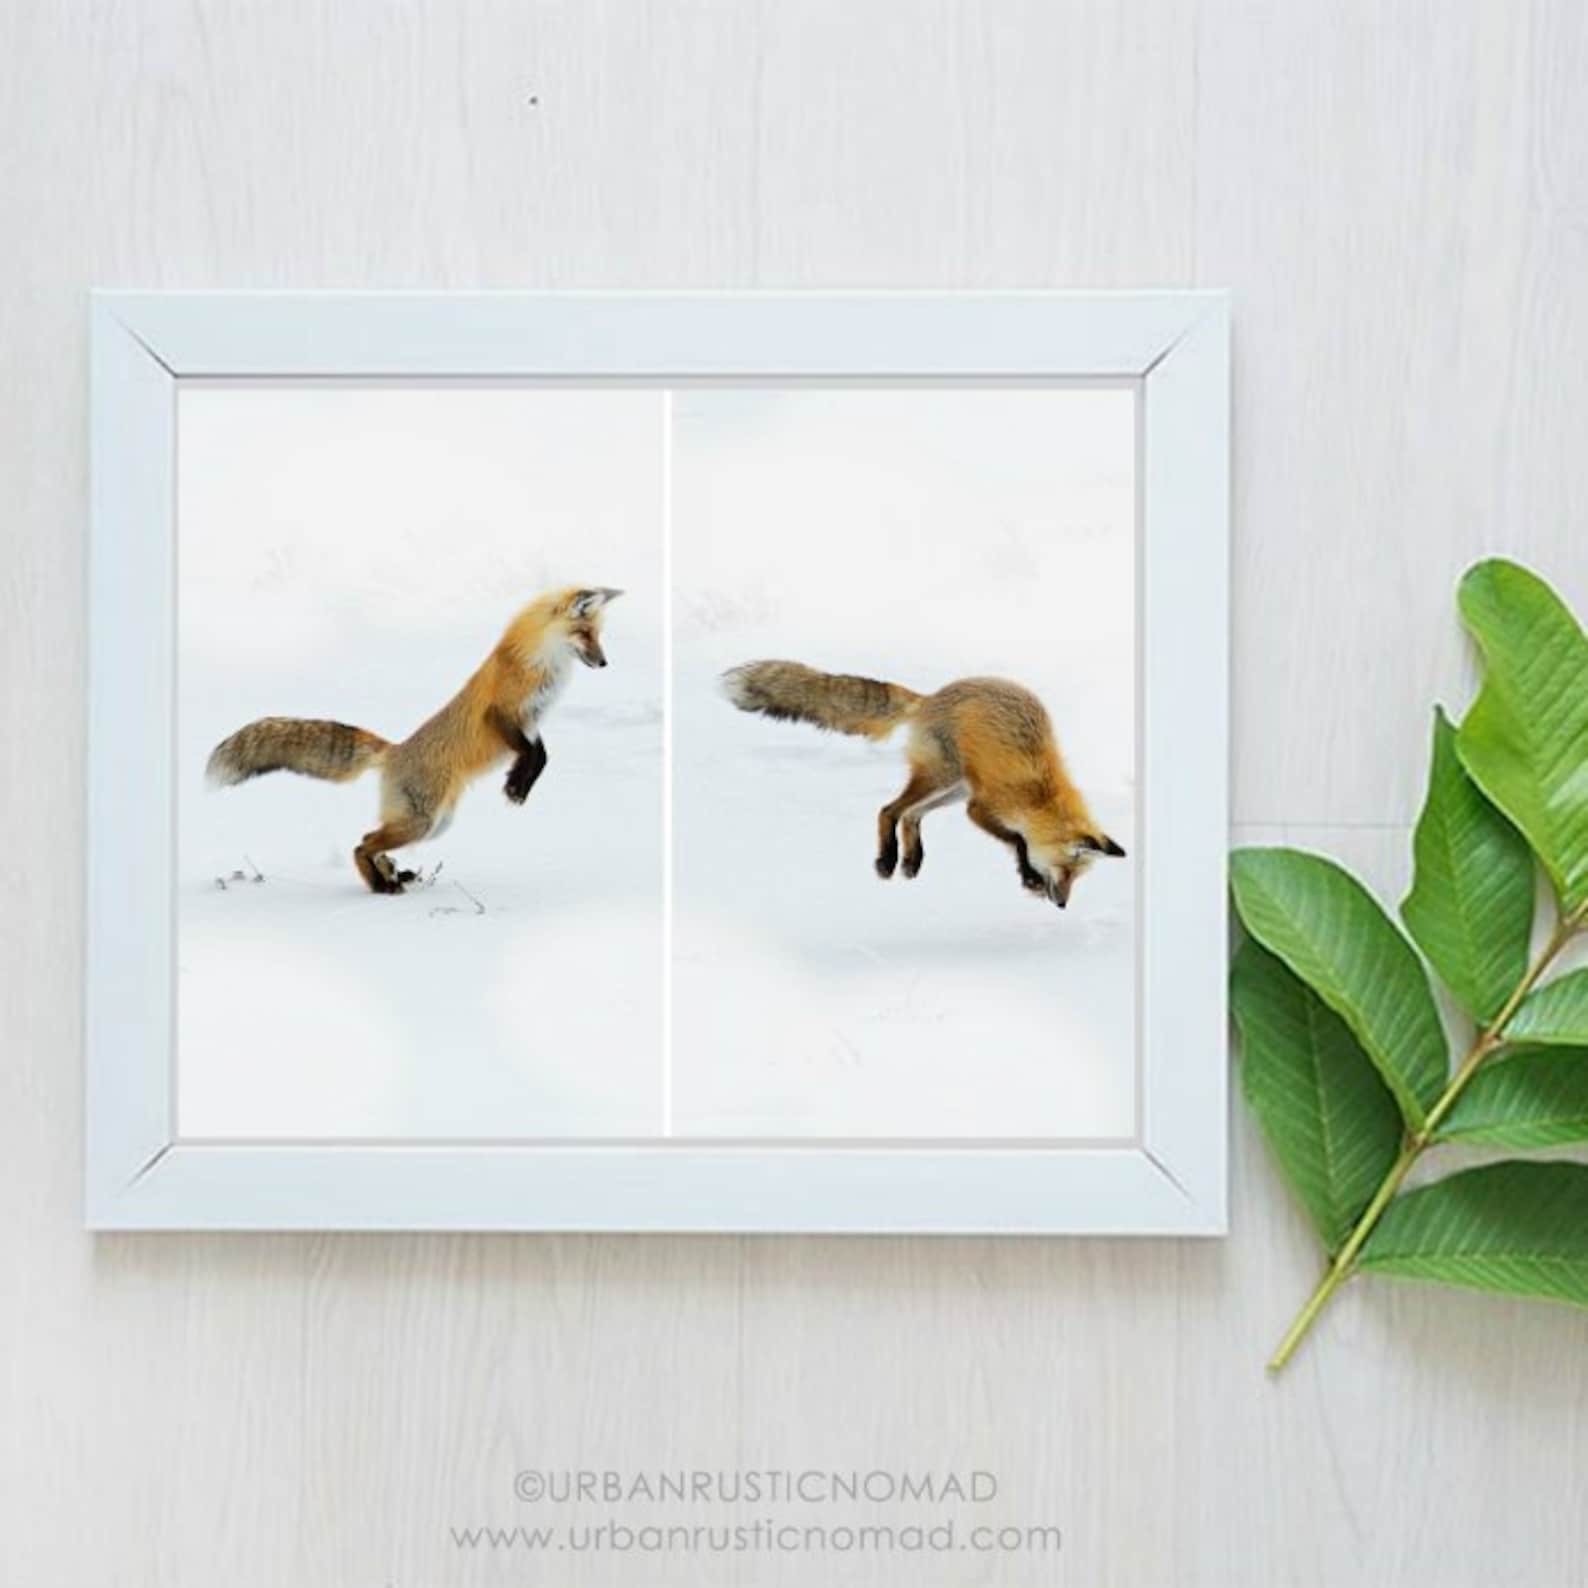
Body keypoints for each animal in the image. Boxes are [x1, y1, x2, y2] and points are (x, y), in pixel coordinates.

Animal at [206, 586, 623, 894]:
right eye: (585, 634)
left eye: (598, 635)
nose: (604, 663)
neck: (541, 664)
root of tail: (394, 750)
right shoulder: (502, 714)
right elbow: (530, 754)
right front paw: (515, 786)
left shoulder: (532, 722)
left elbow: (542, 756)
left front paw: (518, 784)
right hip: (422, 821)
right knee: (362, 842)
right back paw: (381, 884)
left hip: (435, 823)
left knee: (371, 839)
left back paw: (391, 875)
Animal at [722, 660, 1125, 908]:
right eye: (1067, 872)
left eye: (1078, 878)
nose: (1063, 904)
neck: (1039, 795)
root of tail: (932, 697)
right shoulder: (979, 809)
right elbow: (1018, 842)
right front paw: (1028, 876)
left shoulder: (976, 805)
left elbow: (1019, 841)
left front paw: (1028, 877)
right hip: (942, 778)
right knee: (889, 810)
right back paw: (887, 860)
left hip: (952, 789)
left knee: (912, 816)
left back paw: (911, 860)